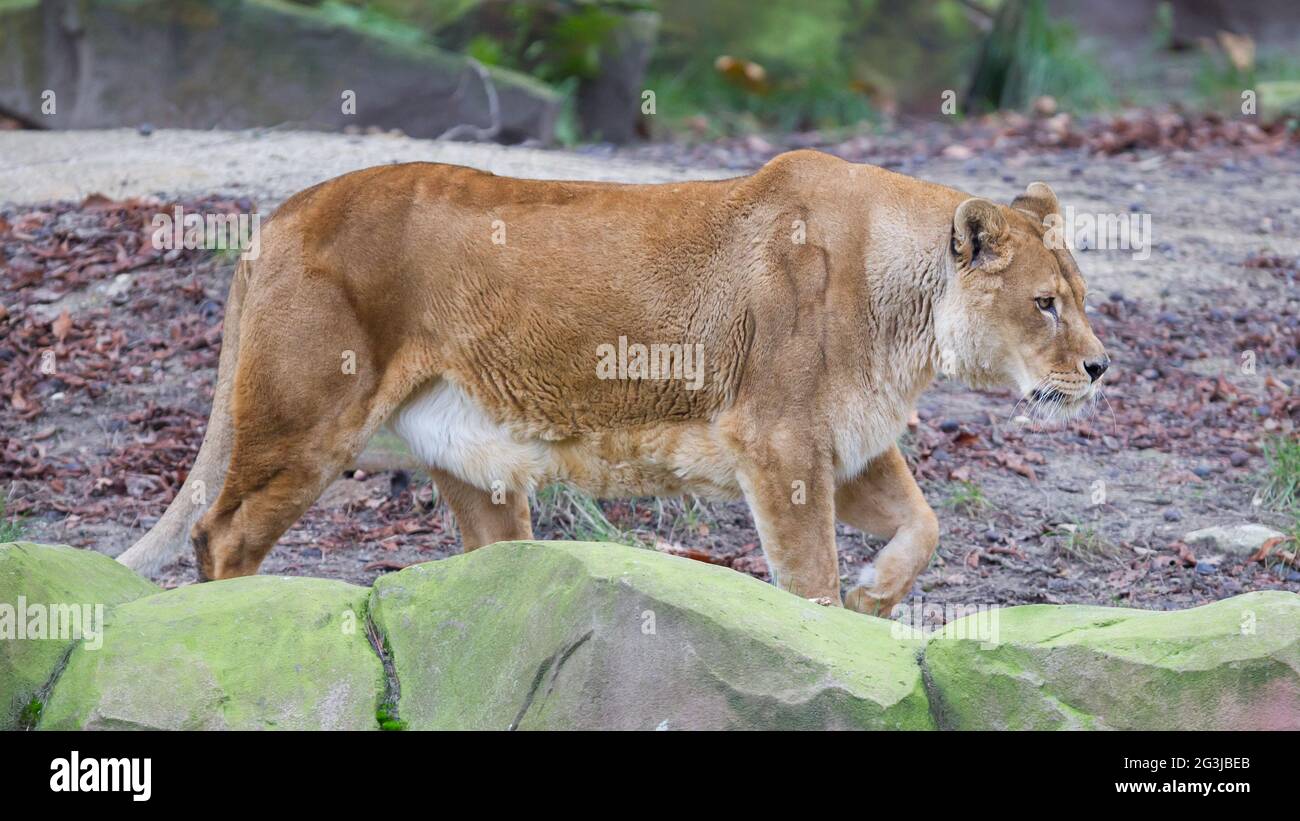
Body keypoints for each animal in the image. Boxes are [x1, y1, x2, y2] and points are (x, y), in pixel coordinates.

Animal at [116, 150, 1108, 616]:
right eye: (1046, 303)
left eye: (1083, 297)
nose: (1102, 366)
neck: (906, 311)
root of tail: (276, 217)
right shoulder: (779, 441)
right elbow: (810, 573)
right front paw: (838, 622)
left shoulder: (848, 447)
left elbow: (926, 524)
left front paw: (874, 598)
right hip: (305, 423)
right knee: (220, 532)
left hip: (471, 466)